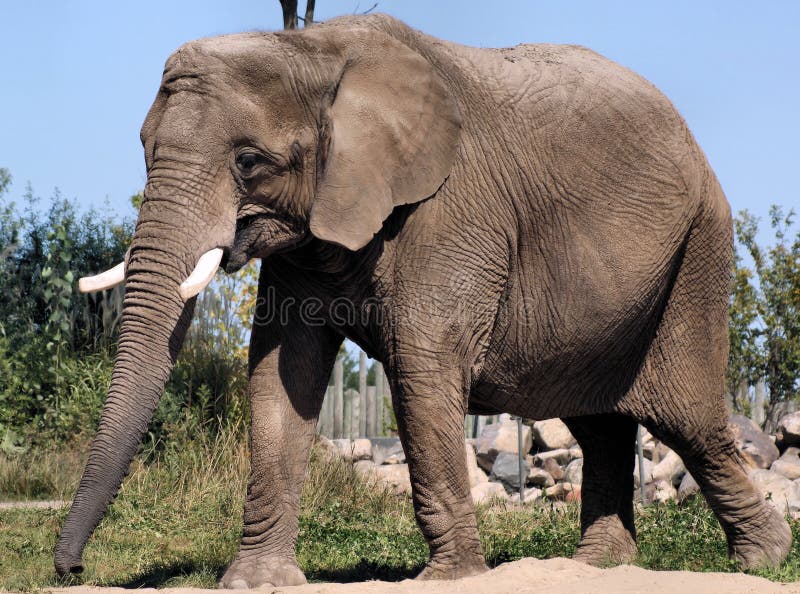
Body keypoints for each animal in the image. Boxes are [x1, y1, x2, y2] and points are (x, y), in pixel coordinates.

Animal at [55, 13, 791, 587]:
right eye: (144, 148)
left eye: (248, 162)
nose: (69, 569)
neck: (311, 50)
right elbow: (280, 373)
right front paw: (256, 581)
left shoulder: (448, 211)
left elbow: (422, 367)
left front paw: (451, 578)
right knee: (600, 422)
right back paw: (595, 568)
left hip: (698, 252)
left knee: (689, 419)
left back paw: (763, 559)